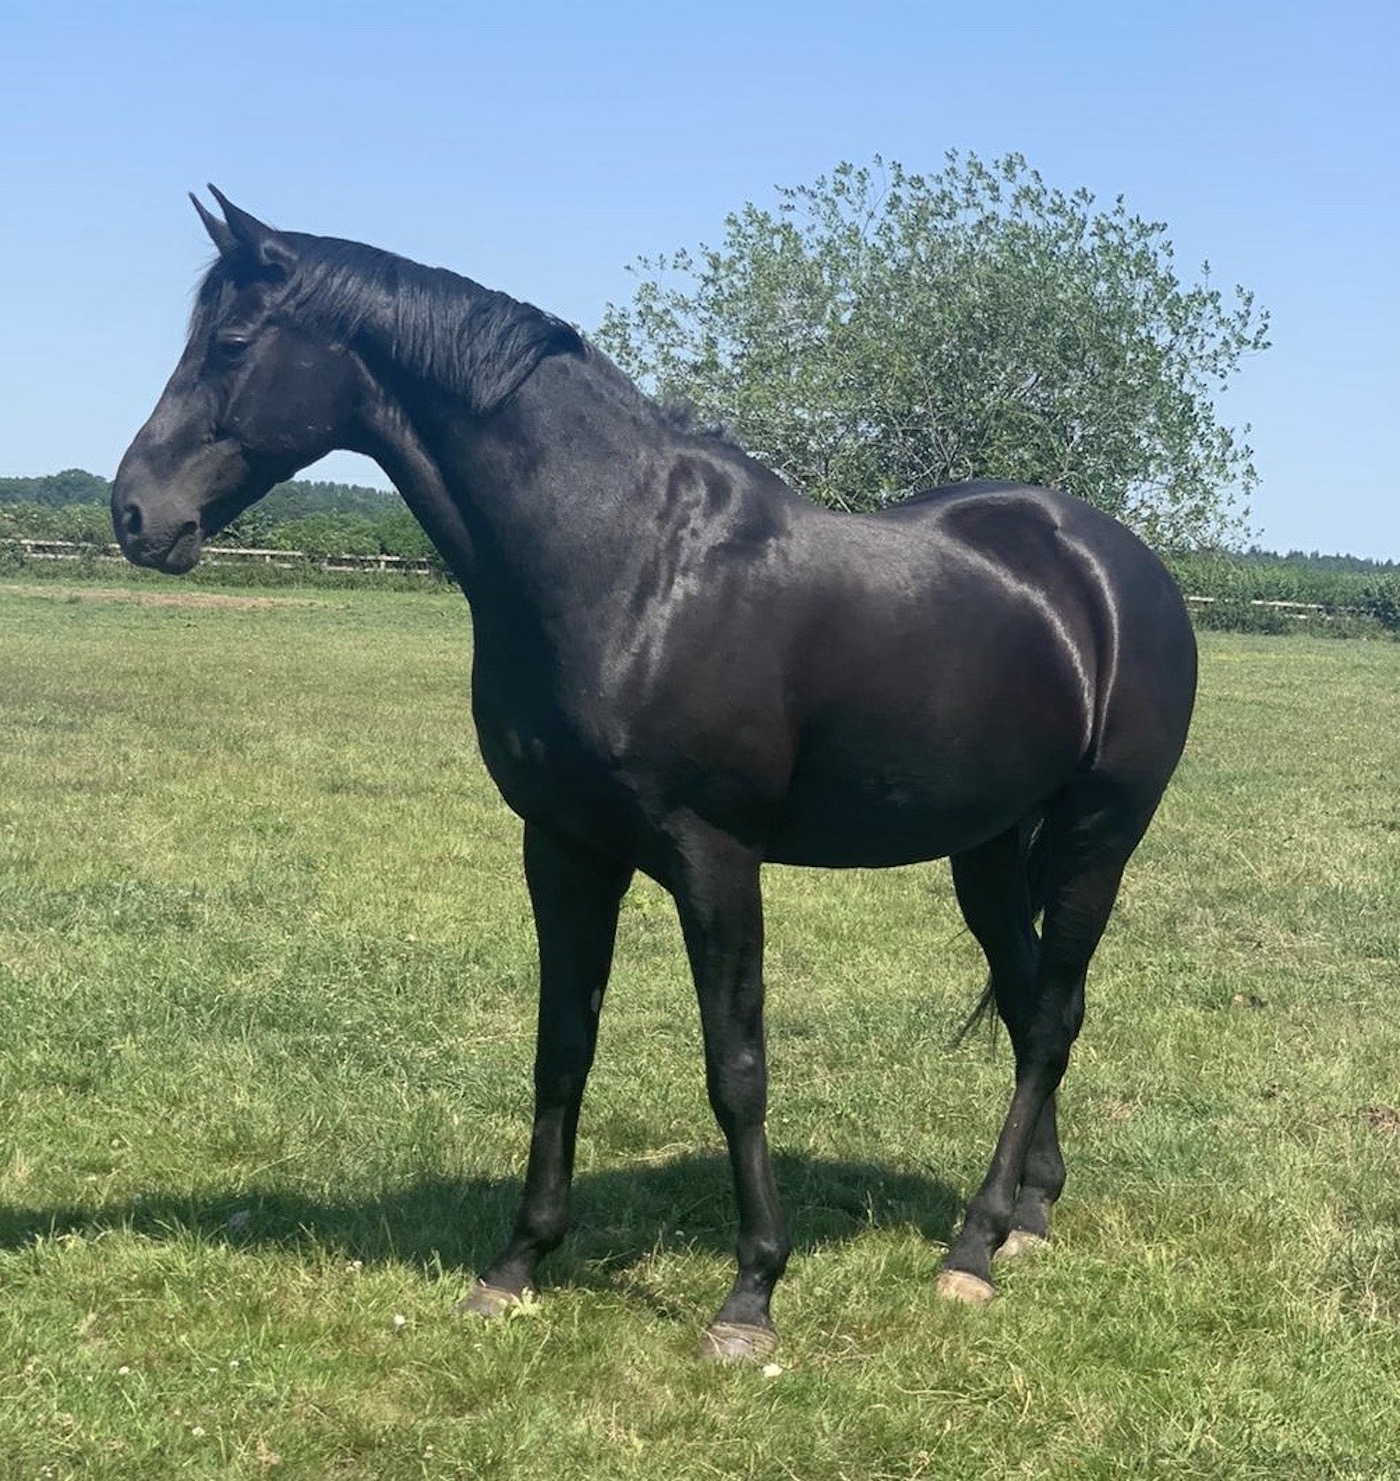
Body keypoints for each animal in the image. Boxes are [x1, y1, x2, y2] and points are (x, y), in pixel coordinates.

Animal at [112, 189, 1197, 1361]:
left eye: (230, 342)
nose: (134, 512)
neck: (628, 558)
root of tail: (1114, 564)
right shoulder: (563, 847)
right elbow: (561, 1046)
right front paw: (516, 1265)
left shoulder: (713, 859)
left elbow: (737, 1068)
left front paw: (751, 1294)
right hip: (986, 849)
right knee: (1029, 993)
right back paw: (1025, 1214)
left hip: (1096, 836)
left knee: (1051, 1017)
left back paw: (971, 1247)